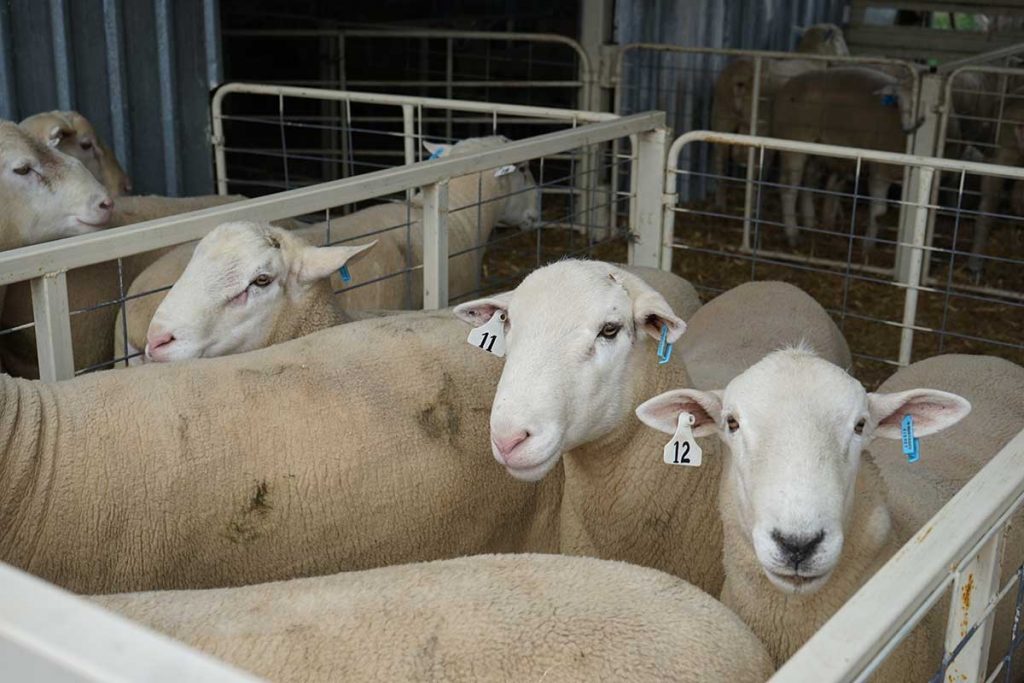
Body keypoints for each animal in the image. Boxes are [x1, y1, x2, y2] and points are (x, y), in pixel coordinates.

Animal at [710, 24, 849, 210]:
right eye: (839, 40)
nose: (848, 58)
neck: (812, 57)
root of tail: (738, 78)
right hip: (761, 124)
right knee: (757, 163)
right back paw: (754, 203)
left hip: (722, 115)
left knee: (720, 158)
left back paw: (721, 203)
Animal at [772, 67, 915, 248]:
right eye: (900, 99)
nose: (908, 128)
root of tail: (788, 84)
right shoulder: (880, 167)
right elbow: (879, 211)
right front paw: (868, 244)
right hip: (793, 142)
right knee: (788, 188)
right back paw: (793, 234)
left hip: (816, 152)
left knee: (809, 183)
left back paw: (810, 223)